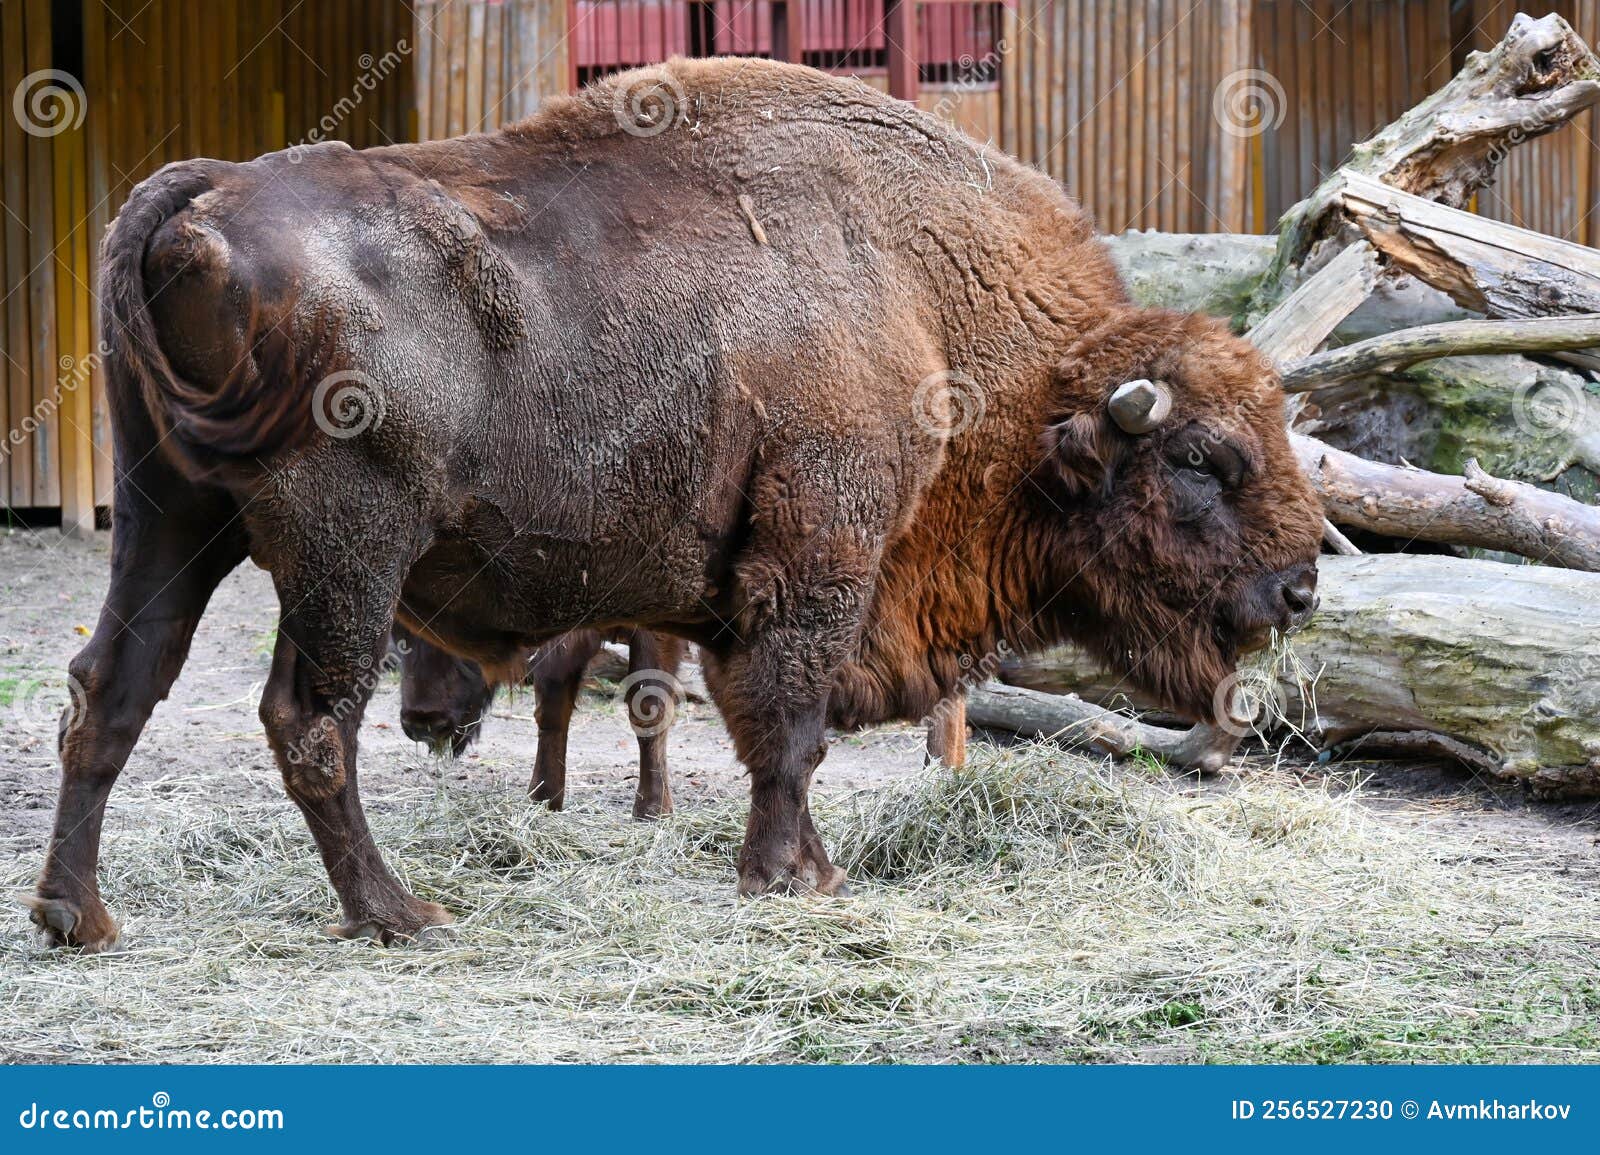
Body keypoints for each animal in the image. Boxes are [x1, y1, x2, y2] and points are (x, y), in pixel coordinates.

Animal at [30, 58, 1321, 950]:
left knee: (110, 691)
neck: (930, 308)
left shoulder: (747, 592)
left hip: (173, 518)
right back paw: (400, 912)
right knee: (308, 720)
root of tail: (206, 193)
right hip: (344, 551)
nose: (1301, 584)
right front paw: (781, 879)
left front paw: (812, 870)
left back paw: (74, 918)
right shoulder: (817, 557)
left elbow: (762, 725)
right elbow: (790, 726)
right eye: (1201, 459)